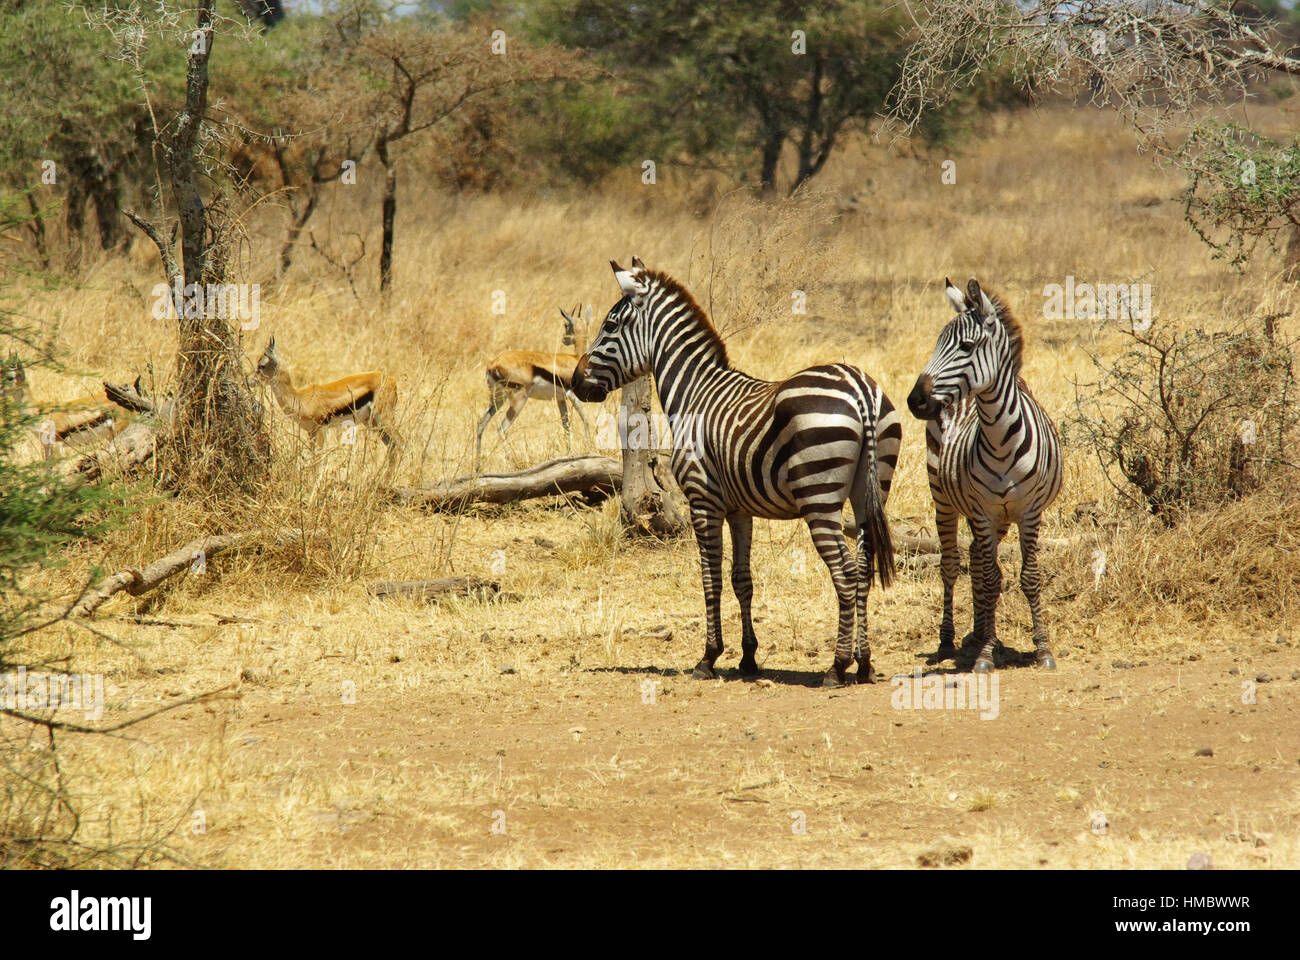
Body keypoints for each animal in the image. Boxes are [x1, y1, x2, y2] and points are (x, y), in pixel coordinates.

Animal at [571, 257, 900, 687]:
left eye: (610, 325)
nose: (574, 382)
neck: (693, 393)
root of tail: (860, 388)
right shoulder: (741, 509)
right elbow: (741, 580)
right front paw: (747, 657)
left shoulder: (702, 499)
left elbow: (710, 577)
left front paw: (708, 657)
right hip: (870, 491)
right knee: (861, 569)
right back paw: (863, 662)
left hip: (819, 496)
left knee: (844, 571)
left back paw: (837, 665)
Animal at [906, 278, 1063, 673]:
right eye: (937, 342)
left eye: (966, 346)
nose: (915, 400)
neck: (999, 435)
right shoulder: (983, 511)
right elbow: (992, 579)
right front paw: (985, 656)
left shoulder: (1028, 511)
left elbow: (1029, 577)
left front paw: (1042, 650)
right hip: (944, 499)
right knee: (952, 565)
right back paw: (951, 640)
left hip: (997, 517)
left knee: (976, 557)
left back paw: (981, 632)